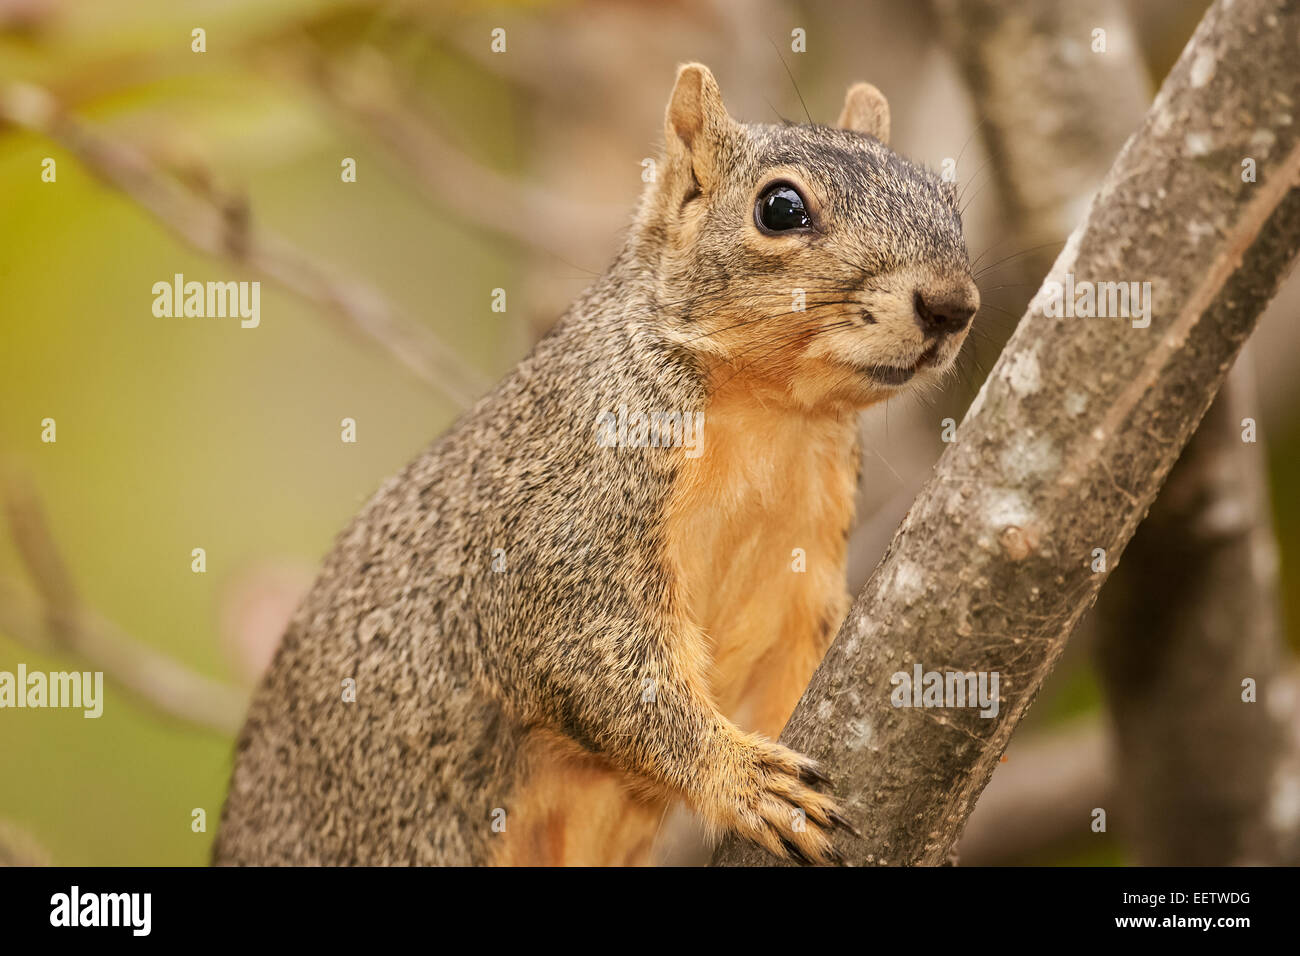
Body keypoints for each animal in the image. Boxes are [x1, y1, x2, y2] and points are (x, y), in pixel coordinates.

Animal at [214, 63, 979, 866]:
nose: (952, 303)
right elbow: (596, 663)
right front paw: (739, 775)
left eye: (949, 201)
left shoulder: (803, 568)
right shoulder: (568, 518)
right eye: (780, 208)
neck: (775, 419)